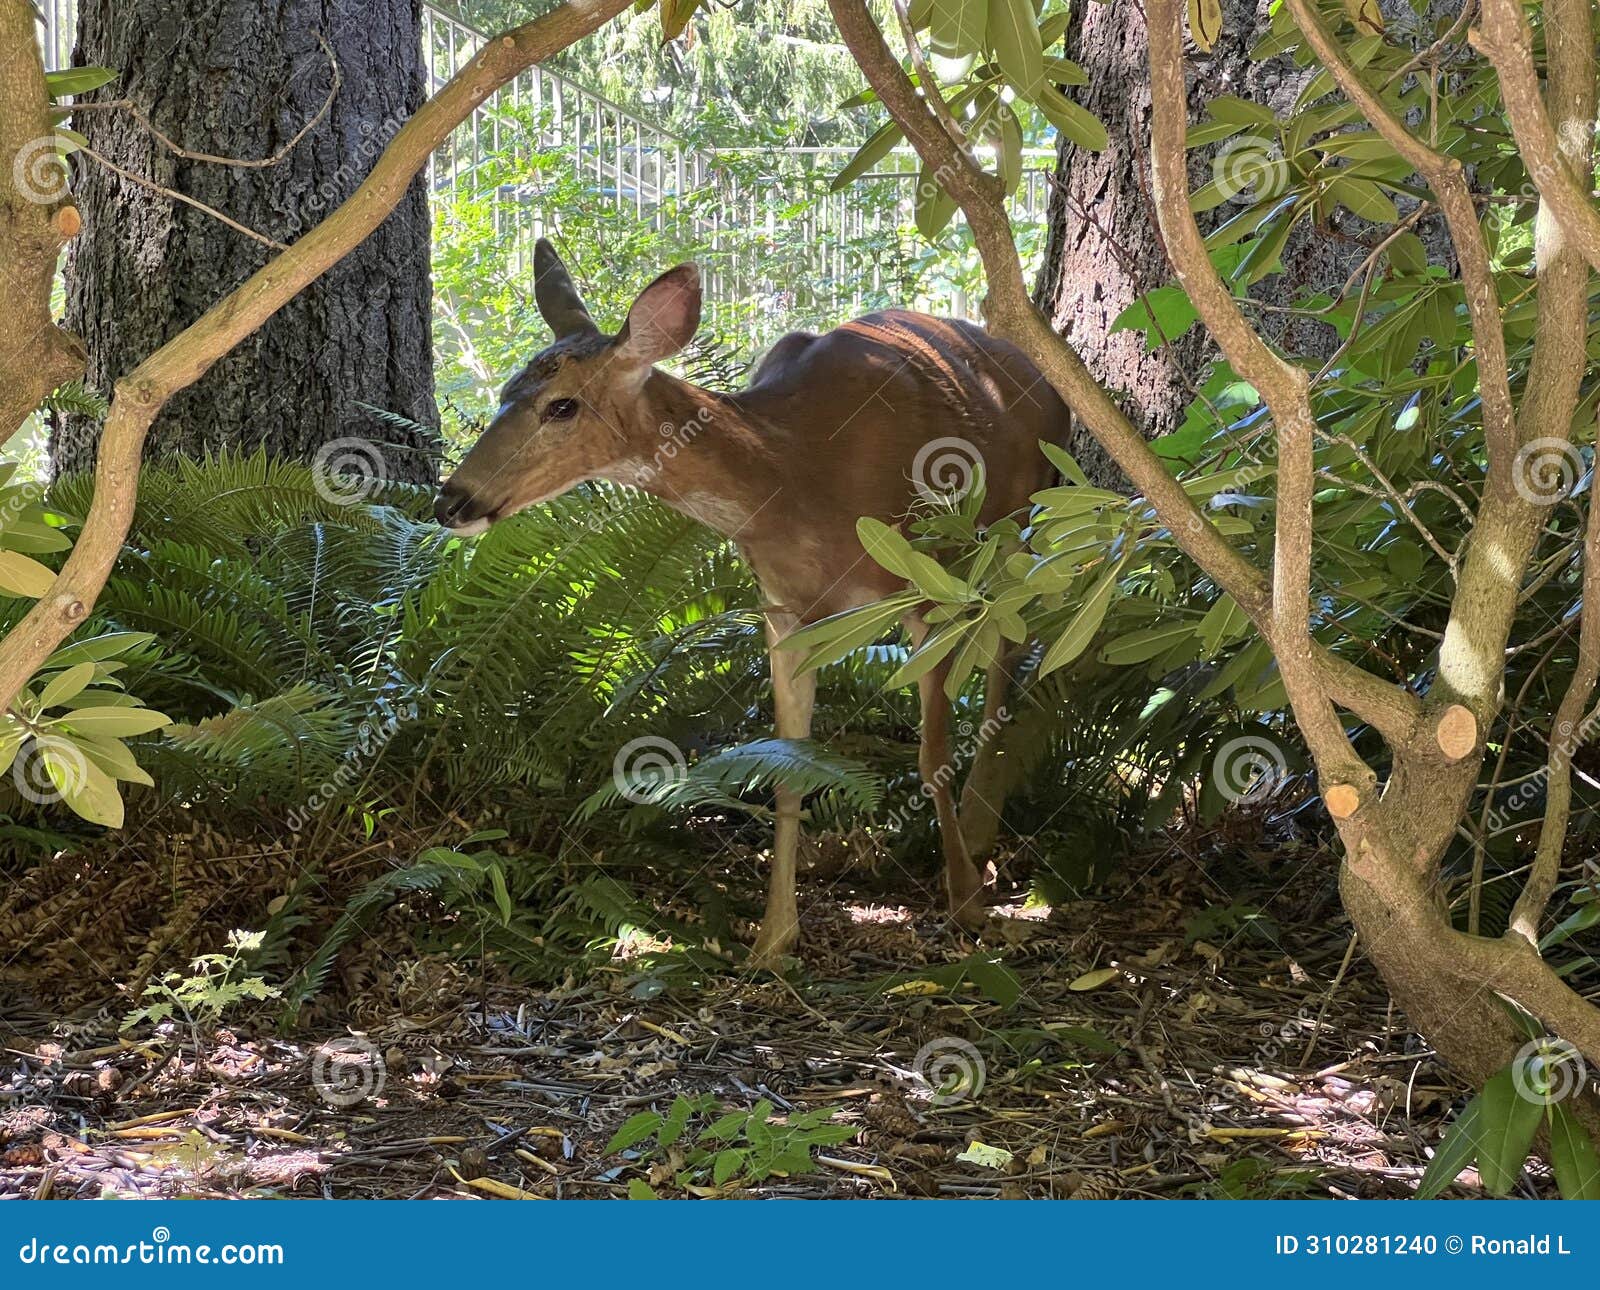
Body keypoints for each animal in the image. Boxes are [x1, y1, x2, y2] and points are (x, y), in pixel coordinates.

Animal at [434, 239, 1069, 967]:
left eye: (561, 406)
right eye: (506, 392)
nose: (451, 501)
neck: (797, 475)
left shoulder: (924, 583)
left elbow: (930, 752)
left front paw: (966, 902)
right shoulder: (782, 607)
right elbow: (788, 765)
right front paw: (771, 938)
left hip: (1013, 529)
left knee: (1009, 656)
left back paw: (980, 838)